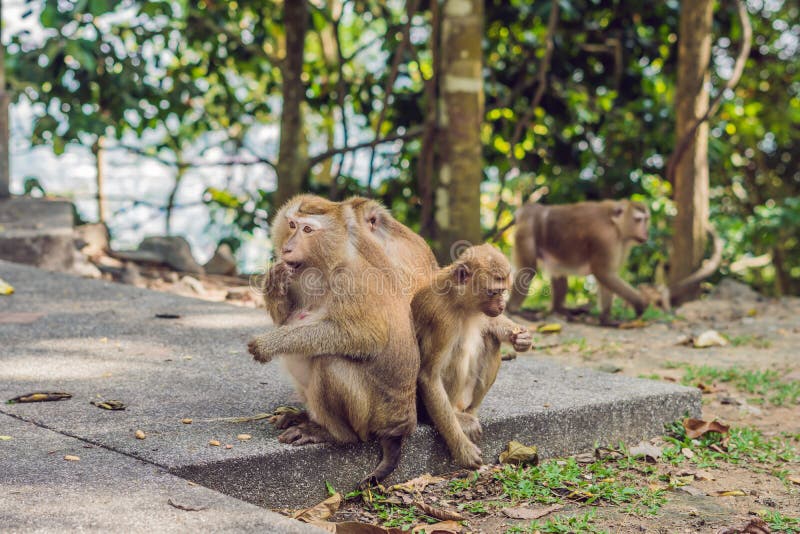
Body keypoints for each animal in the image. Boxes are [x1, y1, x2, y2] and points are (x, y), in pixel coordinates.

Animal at [247, 196, 420, 485]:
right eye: (291, 224)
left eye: (307, 230)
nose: (287, 248)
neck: (324, 263)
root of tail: (399, 426)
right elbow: (287, 318)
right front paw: (274, 281)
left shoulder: (352, 279)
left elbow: (365, 336)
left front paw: (268, 344)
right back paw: (304, 417)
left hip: (370, 417)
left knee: (330, 362)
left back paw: (330, 433)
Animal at [412, 244, 532, 468]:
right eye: (493, 292)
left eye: (504, 291)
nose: (502, 305)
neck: (458, 300)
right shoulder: (442, 320)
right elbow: (429, 376)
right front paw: (462, 448)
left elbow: (492, 323)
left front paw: (522, 338)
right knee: (458, 352)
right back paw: (457, 417)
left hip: (465, 396)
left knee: (490, 340)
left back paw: (470, 411)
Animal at [506, 199, 650, 326]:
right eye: (638, 220)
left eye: (646, 220)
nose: (646, 233)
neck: (615, 224)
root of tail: (527, 209)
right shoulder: (606, 238)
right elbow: (604, 273)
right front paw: (640, 304)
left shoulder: (622, 242)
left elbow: (607, 277)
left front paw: (606, 319)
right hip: (526, 230)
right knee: (528, 271)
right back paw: (514, 310)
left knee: (558, 271)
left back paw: (561, 309)